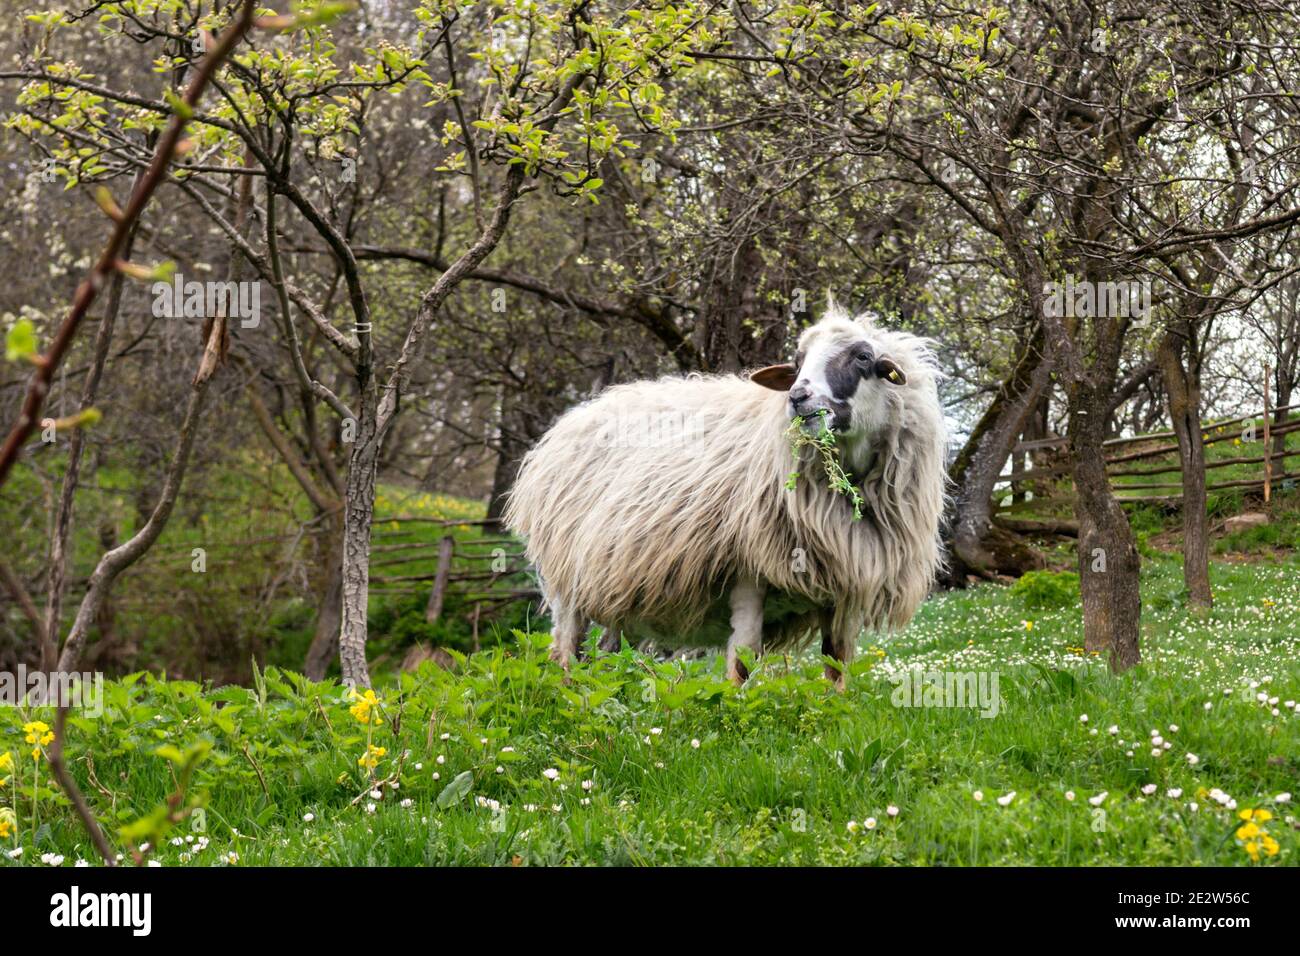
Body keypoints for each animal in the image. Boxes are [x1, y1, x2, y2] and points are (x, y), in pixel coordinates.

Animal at [503, 304, 947, 687]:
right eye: (798, 360)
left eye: (862, 357)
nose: (797, 398)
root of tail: (576, 416)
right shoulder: (747, 569)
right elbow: (744, 658)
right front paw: (735, 706)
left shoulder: (847, 579)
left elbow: (836, 661)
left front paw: (835, 708)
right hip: (565, 580)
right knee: (566, 649)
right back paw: (570, 693)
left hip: (616, 582)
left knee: (608, 651)